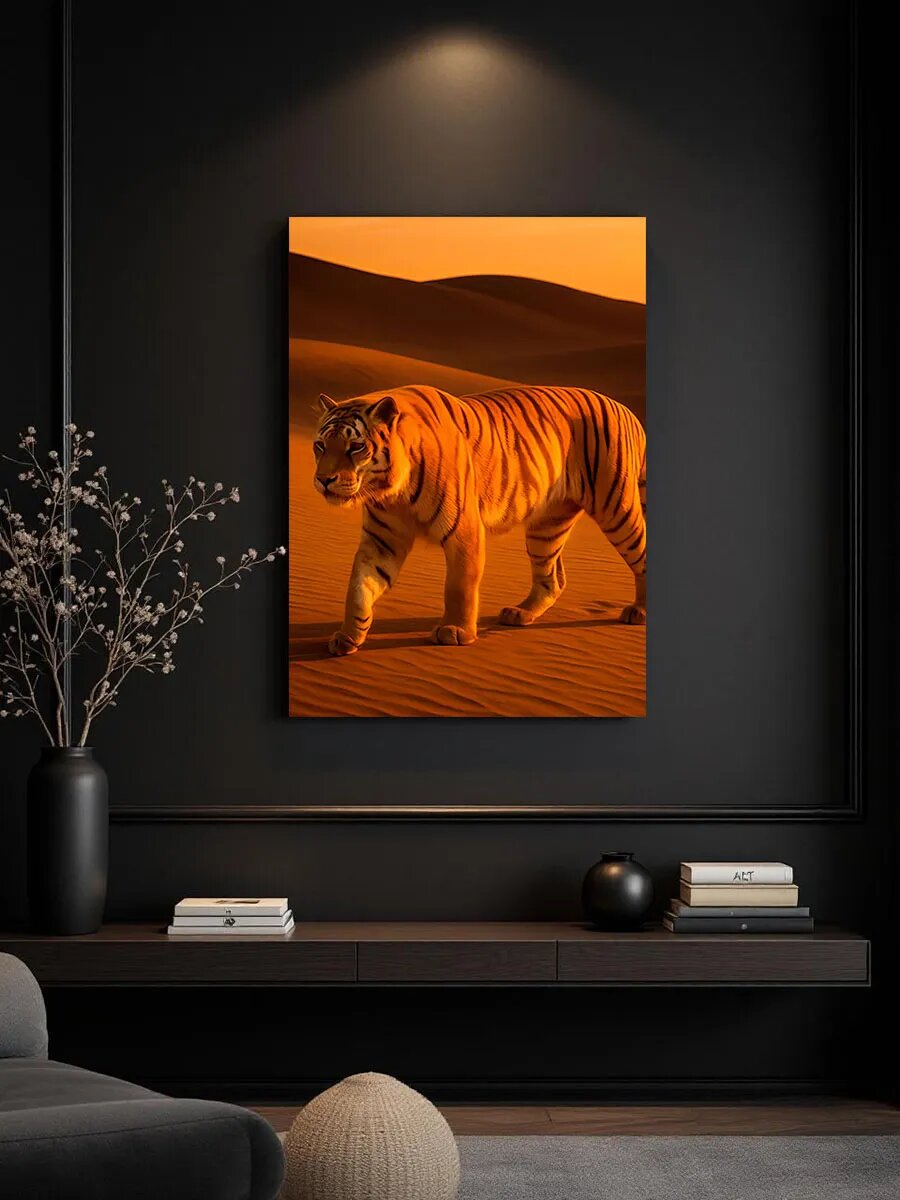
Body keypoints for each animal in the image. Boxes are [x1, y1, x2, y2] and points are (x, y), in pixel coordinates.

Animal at [312, 385, 646, 656]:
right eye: (320, 445)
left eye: (356, 447)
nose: (324, 480)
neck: (392, 489)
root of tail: (626, 409)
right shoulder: (382, 540)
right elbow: (359, 585)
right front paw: (347, 637)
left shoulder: (464, 530)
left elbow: (459, 584)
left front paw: (455, 631)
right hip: (547, 526)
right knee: (552, 578)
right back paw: (519, 614)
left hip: (617, 509)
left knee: (640, 555)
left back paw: (638, 612)